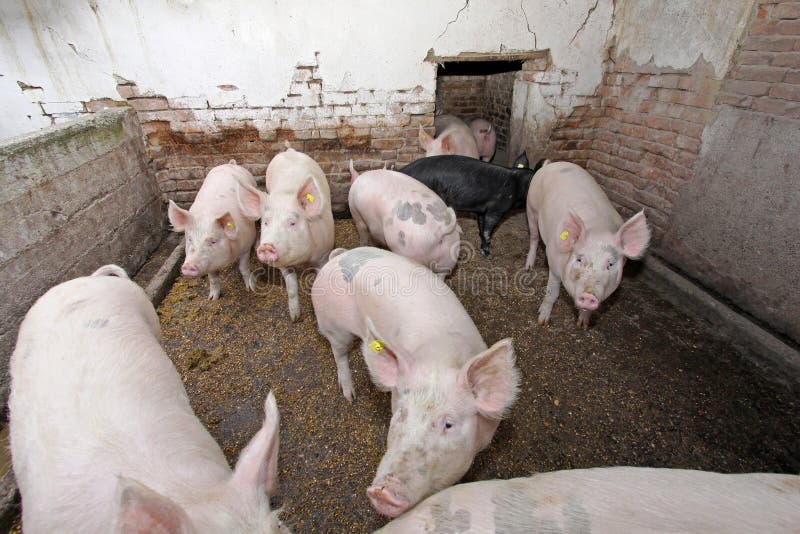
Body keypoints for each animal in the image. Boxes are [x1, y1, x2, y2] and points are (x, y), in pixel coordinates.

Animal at [167, 159, 258, 300]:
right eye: (190, 239)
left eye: (213, 241)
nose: (188, 266)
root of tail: (230, 164)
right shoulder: (210, 263)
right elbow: (213, 278)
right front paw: (212, 298)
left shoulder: (246, 245)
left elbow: (244, 267)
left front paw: (251, 289)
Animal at [237, 147, 335, 321]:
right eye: (266, 222)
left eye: (292, 222)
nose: (266, 246)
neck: (303, 261)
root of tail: (290, 150)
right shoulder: (283, 265)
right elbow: (291, 288)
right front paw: (294, 318)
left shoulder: (323, 255)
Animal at [311, 247, 519, 518]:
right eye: (401, 414)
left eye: (448, 424)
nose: (382, 491)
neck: (441, 359)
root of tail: (338, 256)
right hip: (332, 324)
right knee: (339, 353)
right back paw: (350, 395)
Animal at [400, 153, 544, 257]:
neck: (517, 186)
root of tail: (403, 171)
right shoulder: (496, 209)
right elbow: (487, 232)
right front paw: (488, 255)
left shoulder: (481, 209)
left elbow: (481, 228)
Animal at [525, 161, 650, 329]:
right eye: (579, 259)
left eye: (610, 264)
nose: (589, 295)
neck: (598, 230)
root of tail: (553, 164)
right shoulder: (553, 262)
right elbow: (552, 293)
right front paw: (542, 320)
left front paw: (583, 325)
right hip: (531, 208)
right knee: (533, 237)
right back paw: (529, 267)